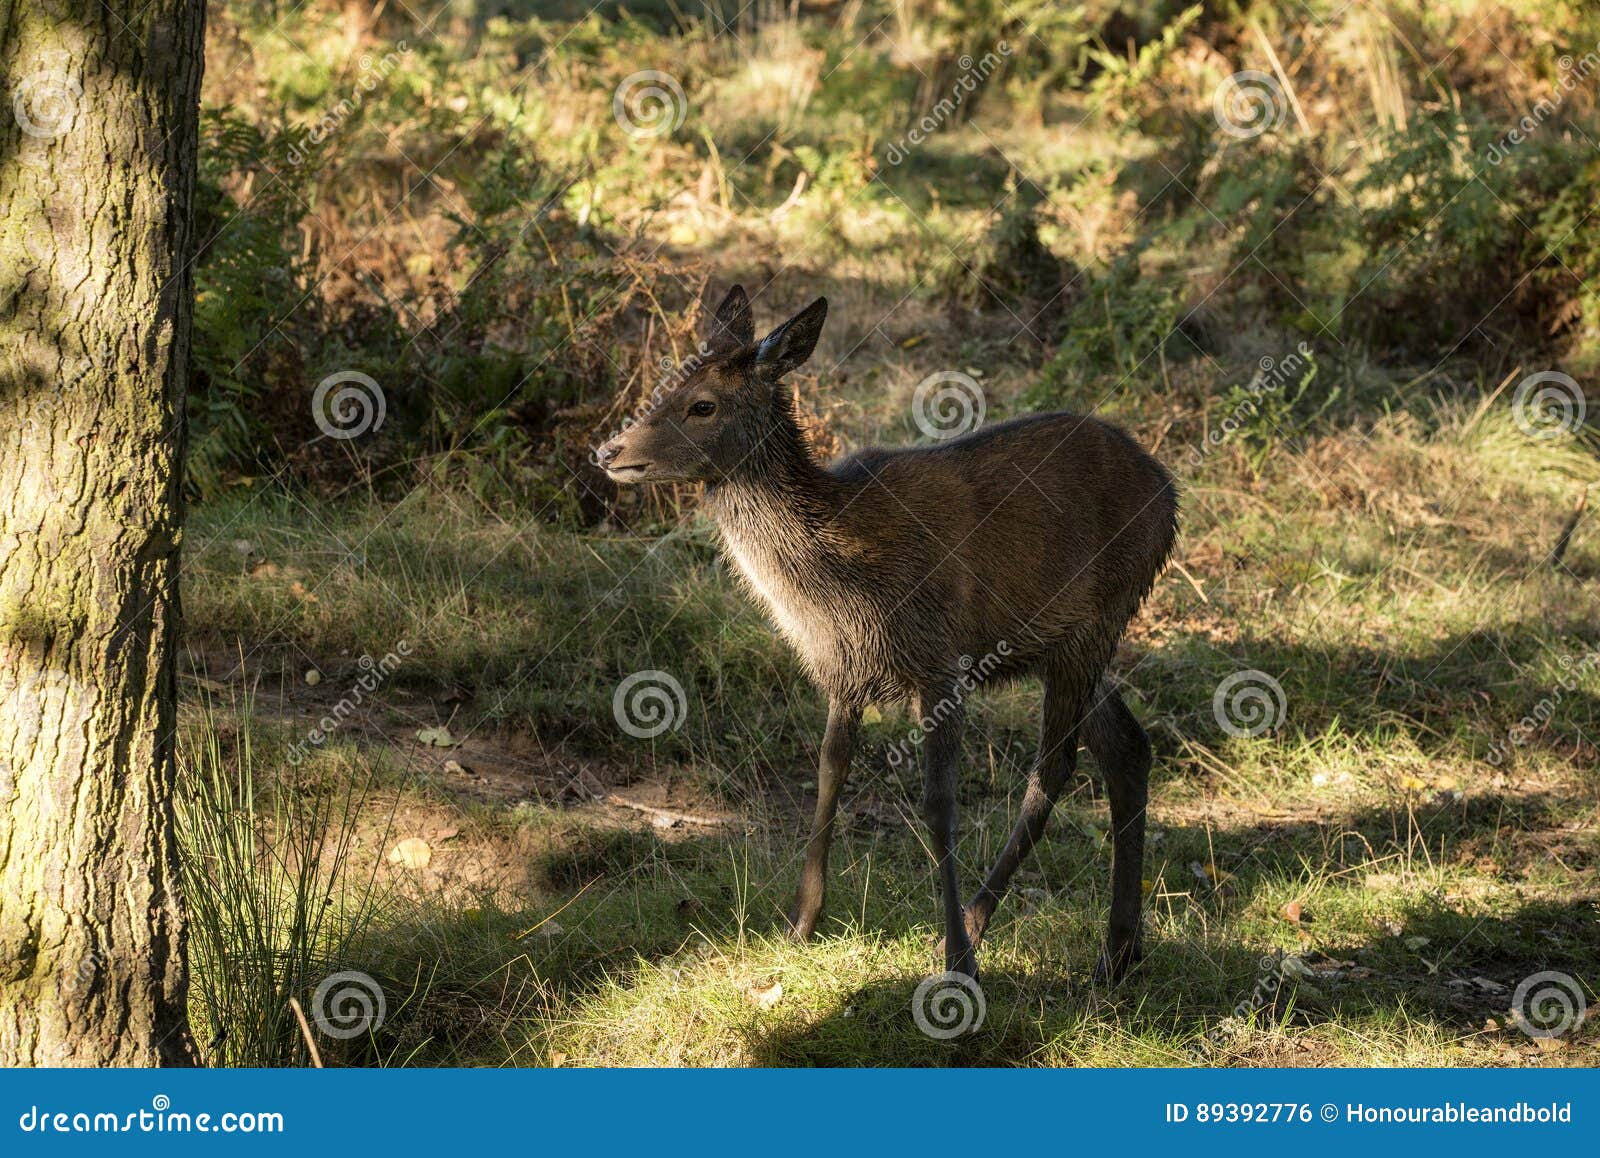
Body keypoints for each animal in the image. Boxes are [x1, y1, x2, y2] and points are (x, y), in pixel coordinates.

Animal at [597, 287, 1178, 986]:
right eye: (665, 385)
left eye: (702, 403)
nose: (608, 451)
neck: (836, 585)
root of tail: (1170, 492)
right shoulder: (839, 669)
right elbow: (828, 774)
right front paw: (800, 924)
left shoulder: (941, 662)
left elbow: (938, 803)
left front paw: (958, 959)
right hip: (1060, 640)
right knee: (1126, 744)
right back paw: (1120, 948)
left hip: (1097, 619)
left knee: (1055, 765)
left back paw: (988, 925)